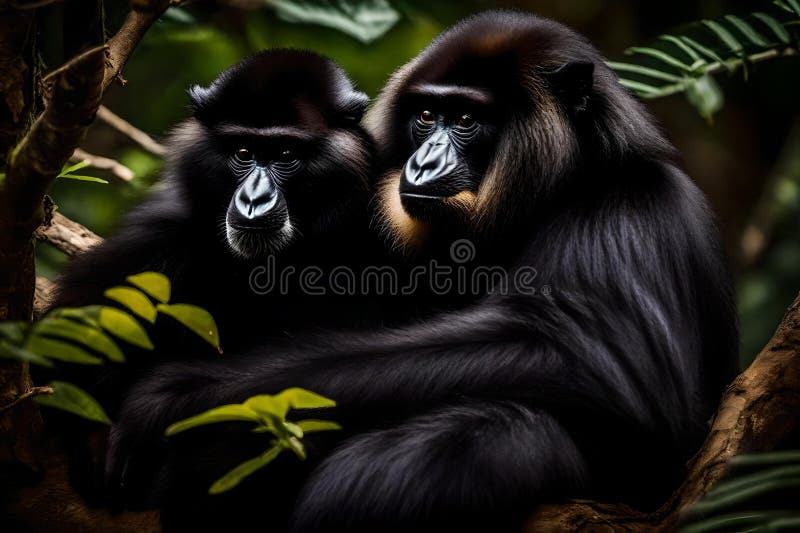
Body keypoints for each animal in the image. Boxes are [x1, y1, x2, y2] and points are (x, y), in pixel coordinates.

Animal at [101, 11, 739, 532]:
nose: (423, 161)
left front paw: (178, 398)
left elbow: (594, 355)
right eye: (427, 115)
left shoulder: (633, 209)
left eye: (466, 119)